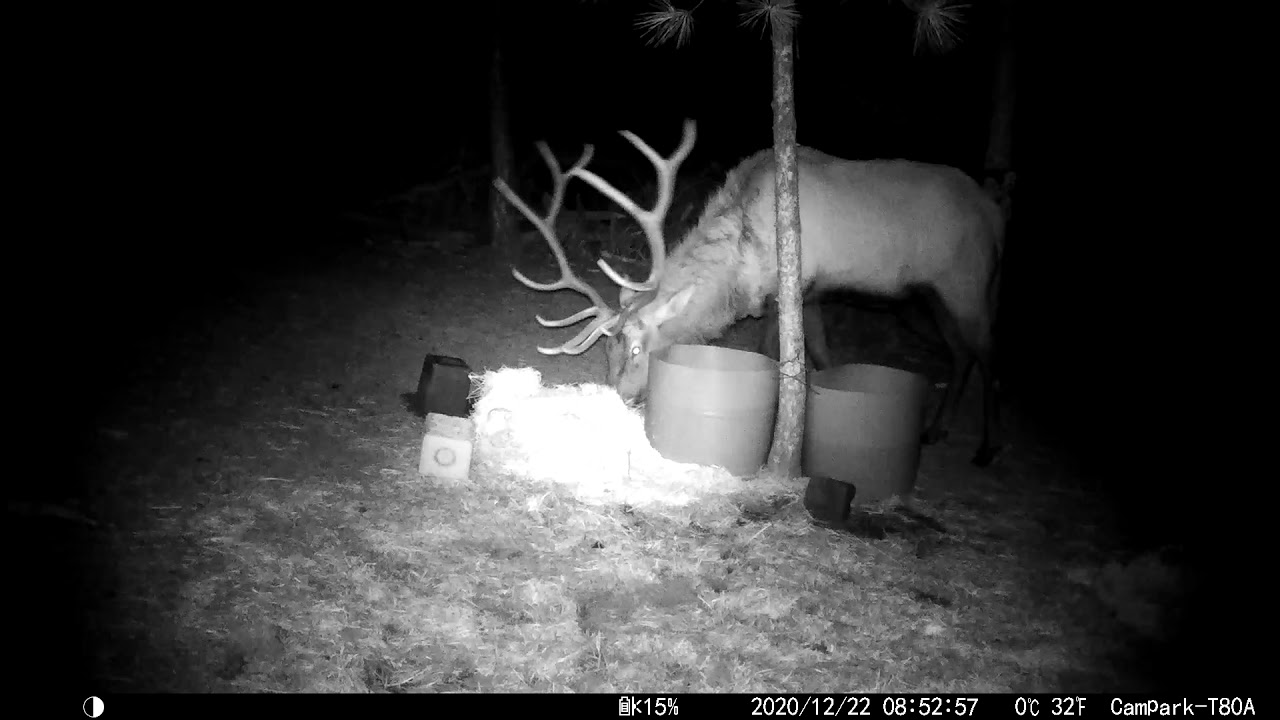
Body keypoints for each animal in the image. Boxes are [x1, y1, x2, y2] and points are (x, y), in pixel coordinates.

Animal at [494, 120, 1005, 467]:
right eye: (606, 350)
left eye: (638, 347)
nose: (619, 398)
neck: (744, 267)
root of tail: (993, 211)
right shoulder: (809, 294)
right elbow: (821, 354)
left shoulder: (795, 290)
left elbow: (782, 356)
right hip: (929, 297)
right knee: (961, 353)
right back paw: (936, 430)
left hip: (967, 280)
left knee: (987, 352)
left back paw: (985, 448)